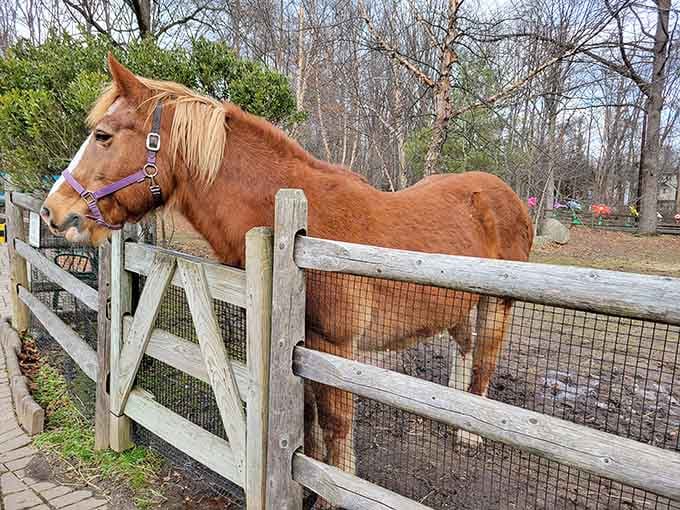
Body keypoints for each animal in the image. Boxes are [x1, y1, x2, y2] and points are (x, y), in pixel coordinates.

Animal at [41, 54, 533, 501]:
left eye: (102, 136)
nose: (53, 211)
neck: (299, 226)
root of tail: (505, 194)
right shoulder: (305, 346)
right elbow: (310, 418)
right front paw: (308, 487)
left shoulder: (334, 346)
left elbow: (335, 422)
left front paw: (334, 492)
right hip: (459, 302)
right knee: (465, 348)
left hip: (497, 304)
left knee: (485, 357)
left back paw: (471, 433)